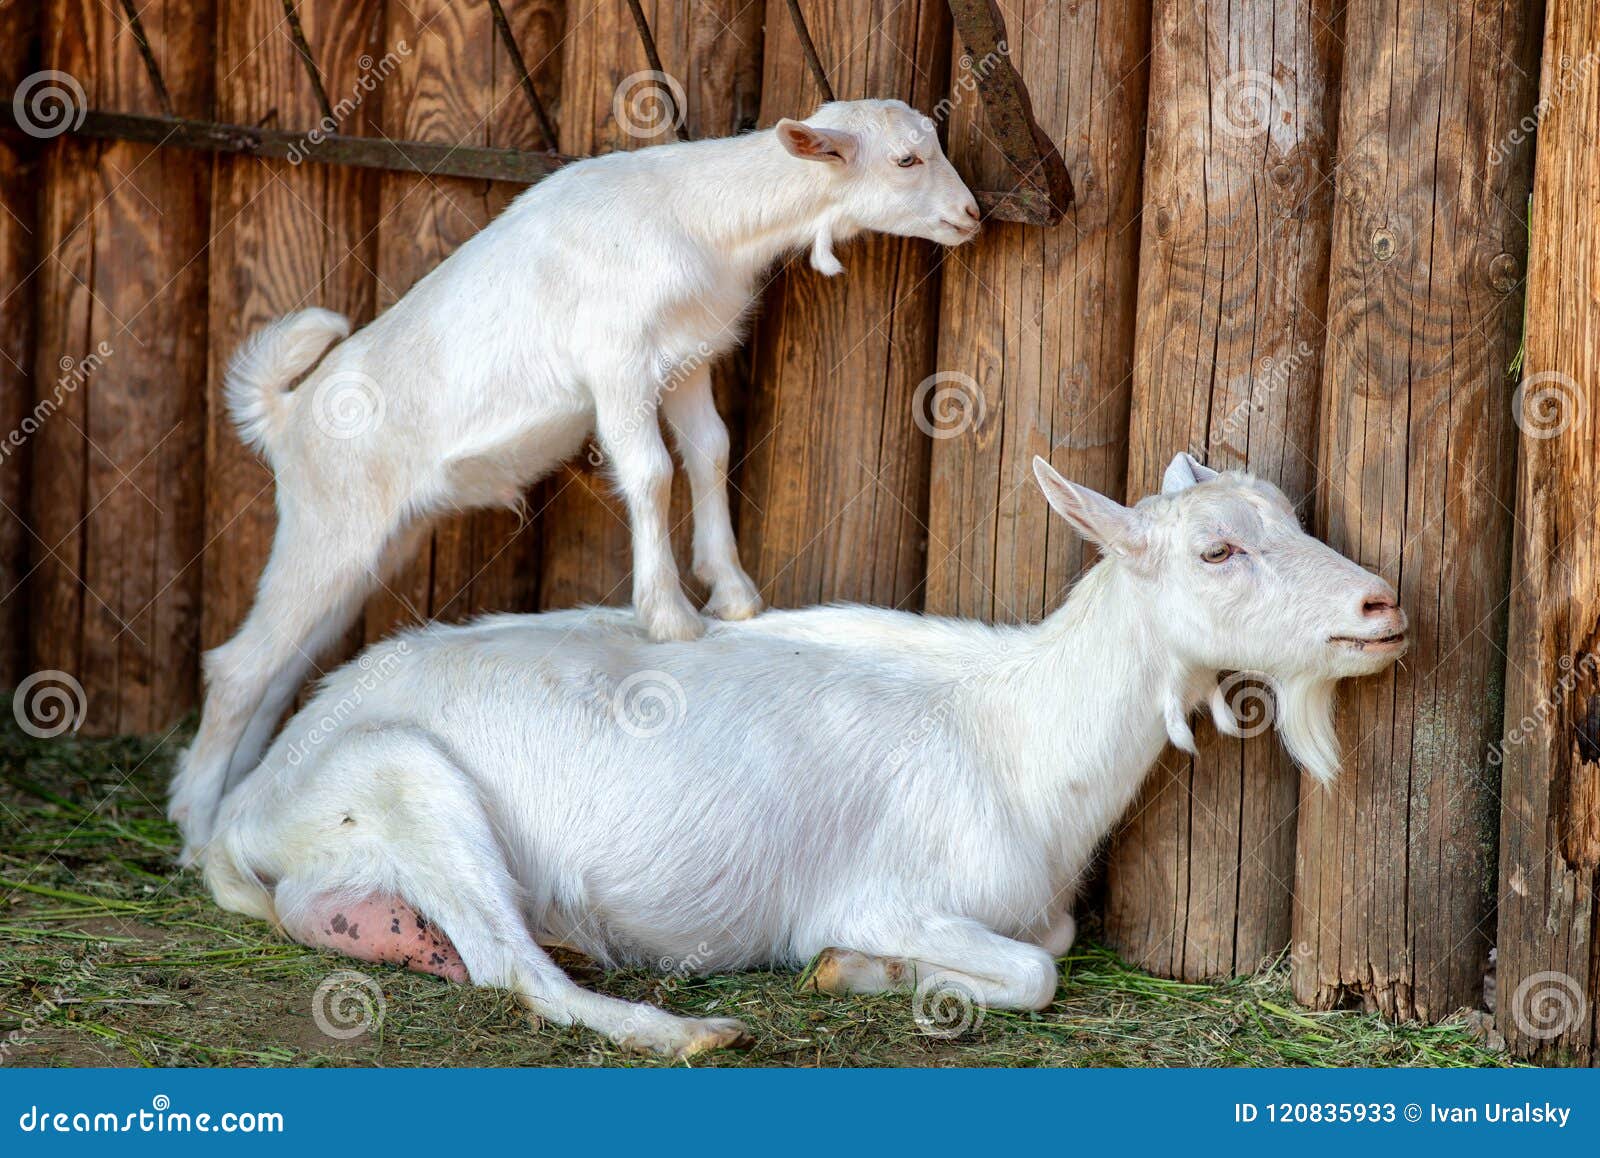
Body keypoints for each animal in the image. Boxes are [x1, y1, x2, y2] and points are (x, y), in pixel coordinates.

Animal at [171, 100, 981, 855]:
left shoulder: (686, 359)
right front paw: (669, 615)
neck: (696, 217)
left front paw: (732, 592)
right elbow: (652, 471)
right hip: (327, 523)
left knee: (284, 664)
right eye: (908, 160)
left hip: (367, 549)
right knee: (239, 666)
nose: (972, 215)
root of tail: (285, 417)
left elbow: (711, 450)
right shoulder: (616, 362)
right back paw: (197, 825)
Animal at [199, 454, 1407, 1057]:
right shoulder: (887, 889)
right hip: (406, 779)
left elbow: (1051, 943)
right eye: (1218, 549)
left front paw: (872, 976)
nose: (1382, 605)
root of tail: (247, 811)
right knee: (509, 966)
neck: (1017, 735)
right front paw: (865, 971)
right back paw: (683, 1032)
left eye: (1287, 513)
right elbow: (1036, 970)